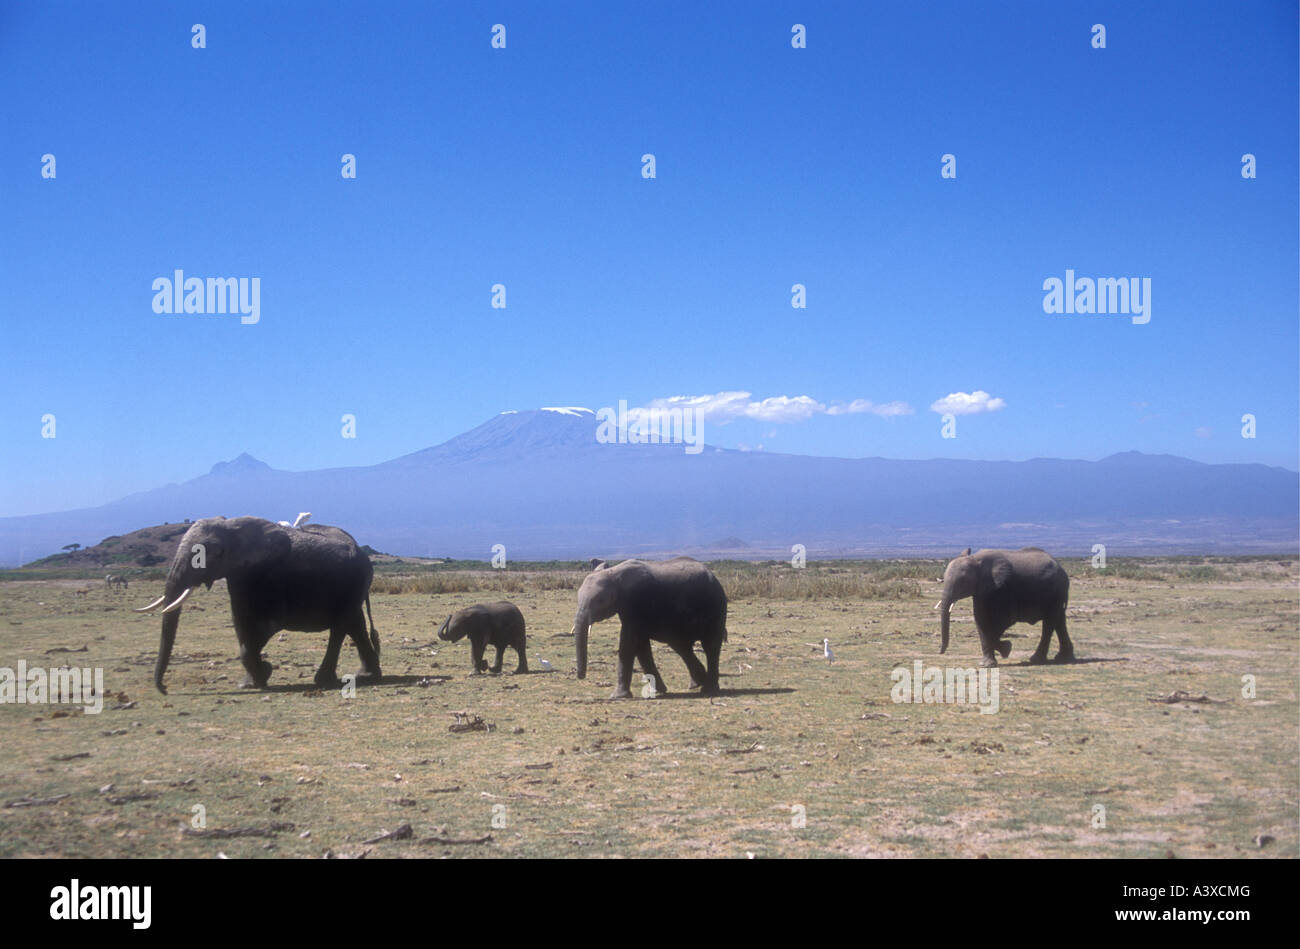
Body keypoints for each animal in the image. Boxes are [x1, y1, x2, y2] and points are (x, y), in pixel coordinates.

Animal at [134, 516, 381, 694]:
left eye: (213, 553)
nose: (164, 689)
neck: (233, 526)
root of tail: (359, 549)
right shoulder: (239, 577)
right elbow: (241, 625)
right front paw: (252, 682)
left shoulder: (268, 578)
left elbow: (262, 628)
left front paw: (264, 673)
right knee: (355, 625)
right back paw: (365, 676)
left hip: (354, 582)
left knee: (340, 628)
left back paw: (324, 680)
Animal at [573, 557, 728, 699]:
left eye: (600, 600)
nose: (581, 676)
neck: (614, 574)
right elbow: (641, 646)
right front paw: (661, 691)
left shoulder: (637, 602)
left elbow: (629, 643)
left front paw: (617, 696)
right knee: (682, 647)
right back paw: (696, 683)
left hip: (715, 608)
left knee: (710, 646)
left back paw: (708, 689)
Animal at [935, 547, 1073, 667]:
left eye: (962, 582)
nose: (940, 652)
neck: (976, 559)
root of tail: (1060, 566)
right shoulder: (981, 591)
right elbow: (980, 619)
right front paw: (989, 662)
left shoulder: (1004, 588)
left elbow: (1005, 620)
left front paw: (1006, 649)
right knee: (1059, 621)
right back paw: (1063, 658)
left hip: (1057, 591)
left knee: (1050, 623)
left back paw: (1037, 659)